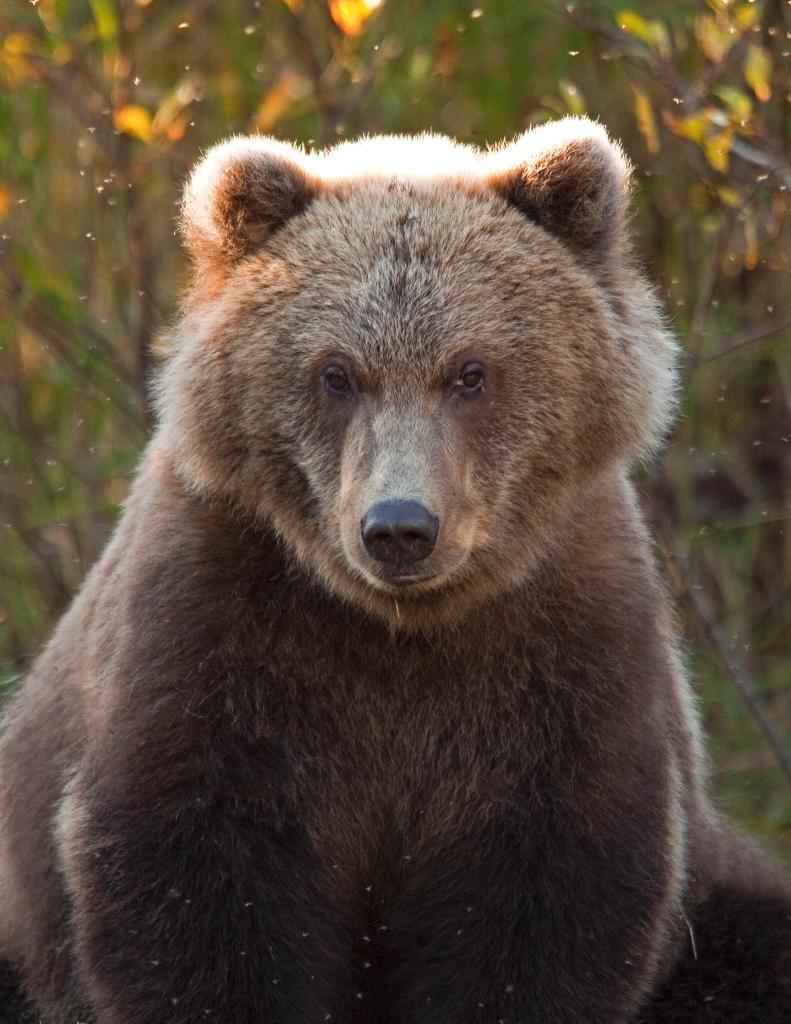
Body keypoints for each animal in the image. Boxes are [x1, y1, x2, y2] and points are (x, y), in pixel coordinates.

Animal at [0, 117, 790, 1024]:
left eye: (470, 371)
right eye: (336, 373)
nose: (399, 528)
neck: (402, 629)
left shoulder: (562, 650)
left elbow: (544, 903)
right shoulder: (220, 626)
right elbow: (192, 887)